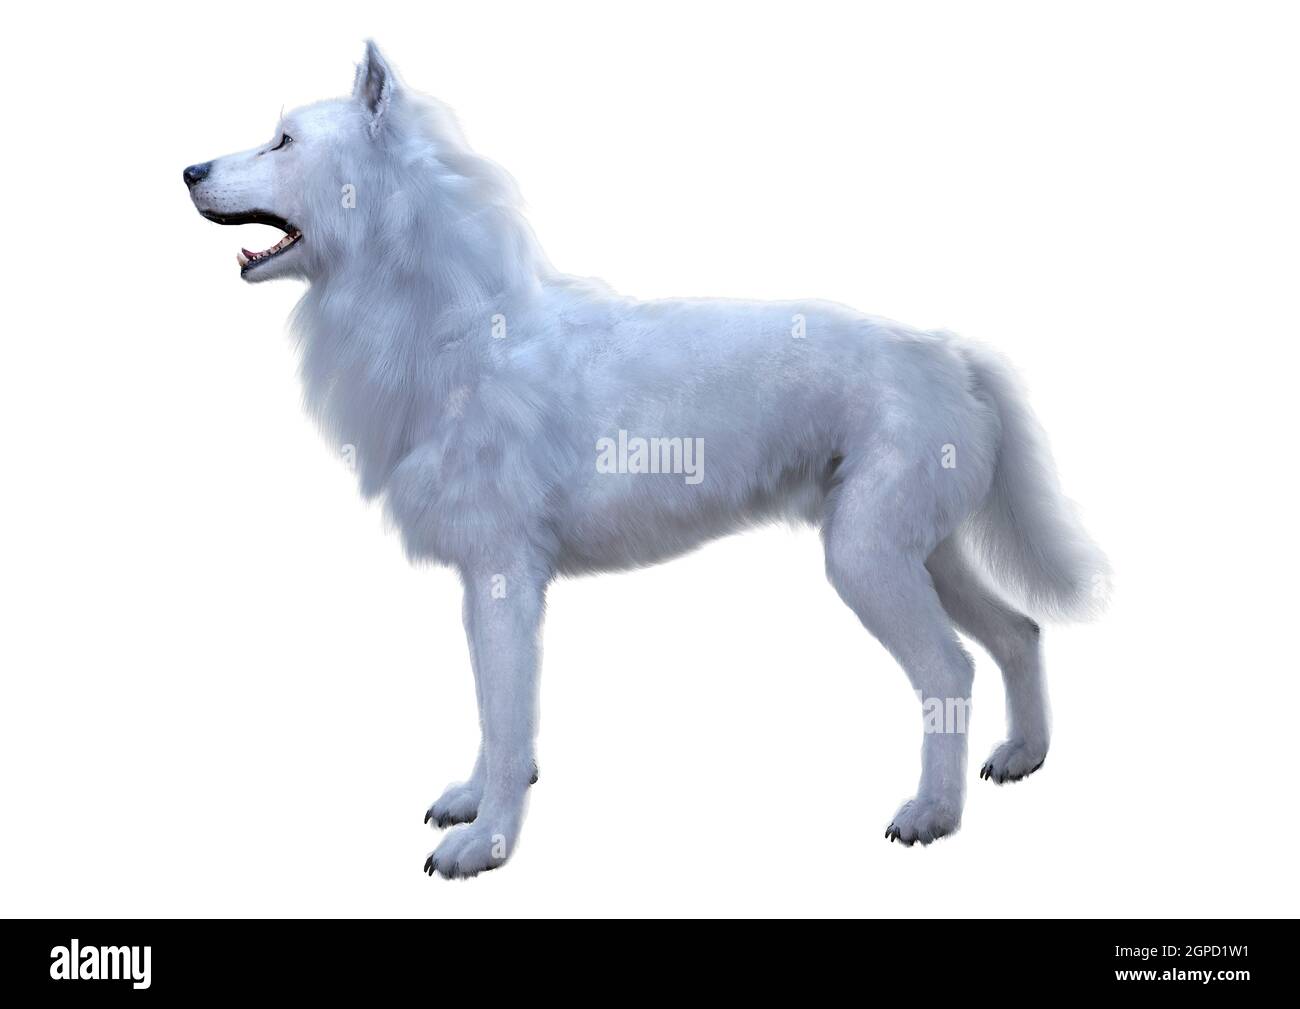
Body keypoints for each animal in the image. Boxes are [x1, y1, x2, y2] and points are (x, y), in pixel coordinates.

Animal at [184, 42, 1108, 878]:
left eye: (283, 142)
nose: (188, 170)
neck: (456, 332)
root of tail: (949, 352)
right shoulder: (484, 586)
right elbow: (490, 714)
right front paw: (475, 802)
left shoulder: (505, 581)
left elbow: (509, 719)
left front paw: (485, 845)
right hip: (925, 552)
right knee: (1019, 633)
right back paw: (1023, 756)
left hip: (867, 559)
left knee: (952, 667)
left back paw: (932, 814)